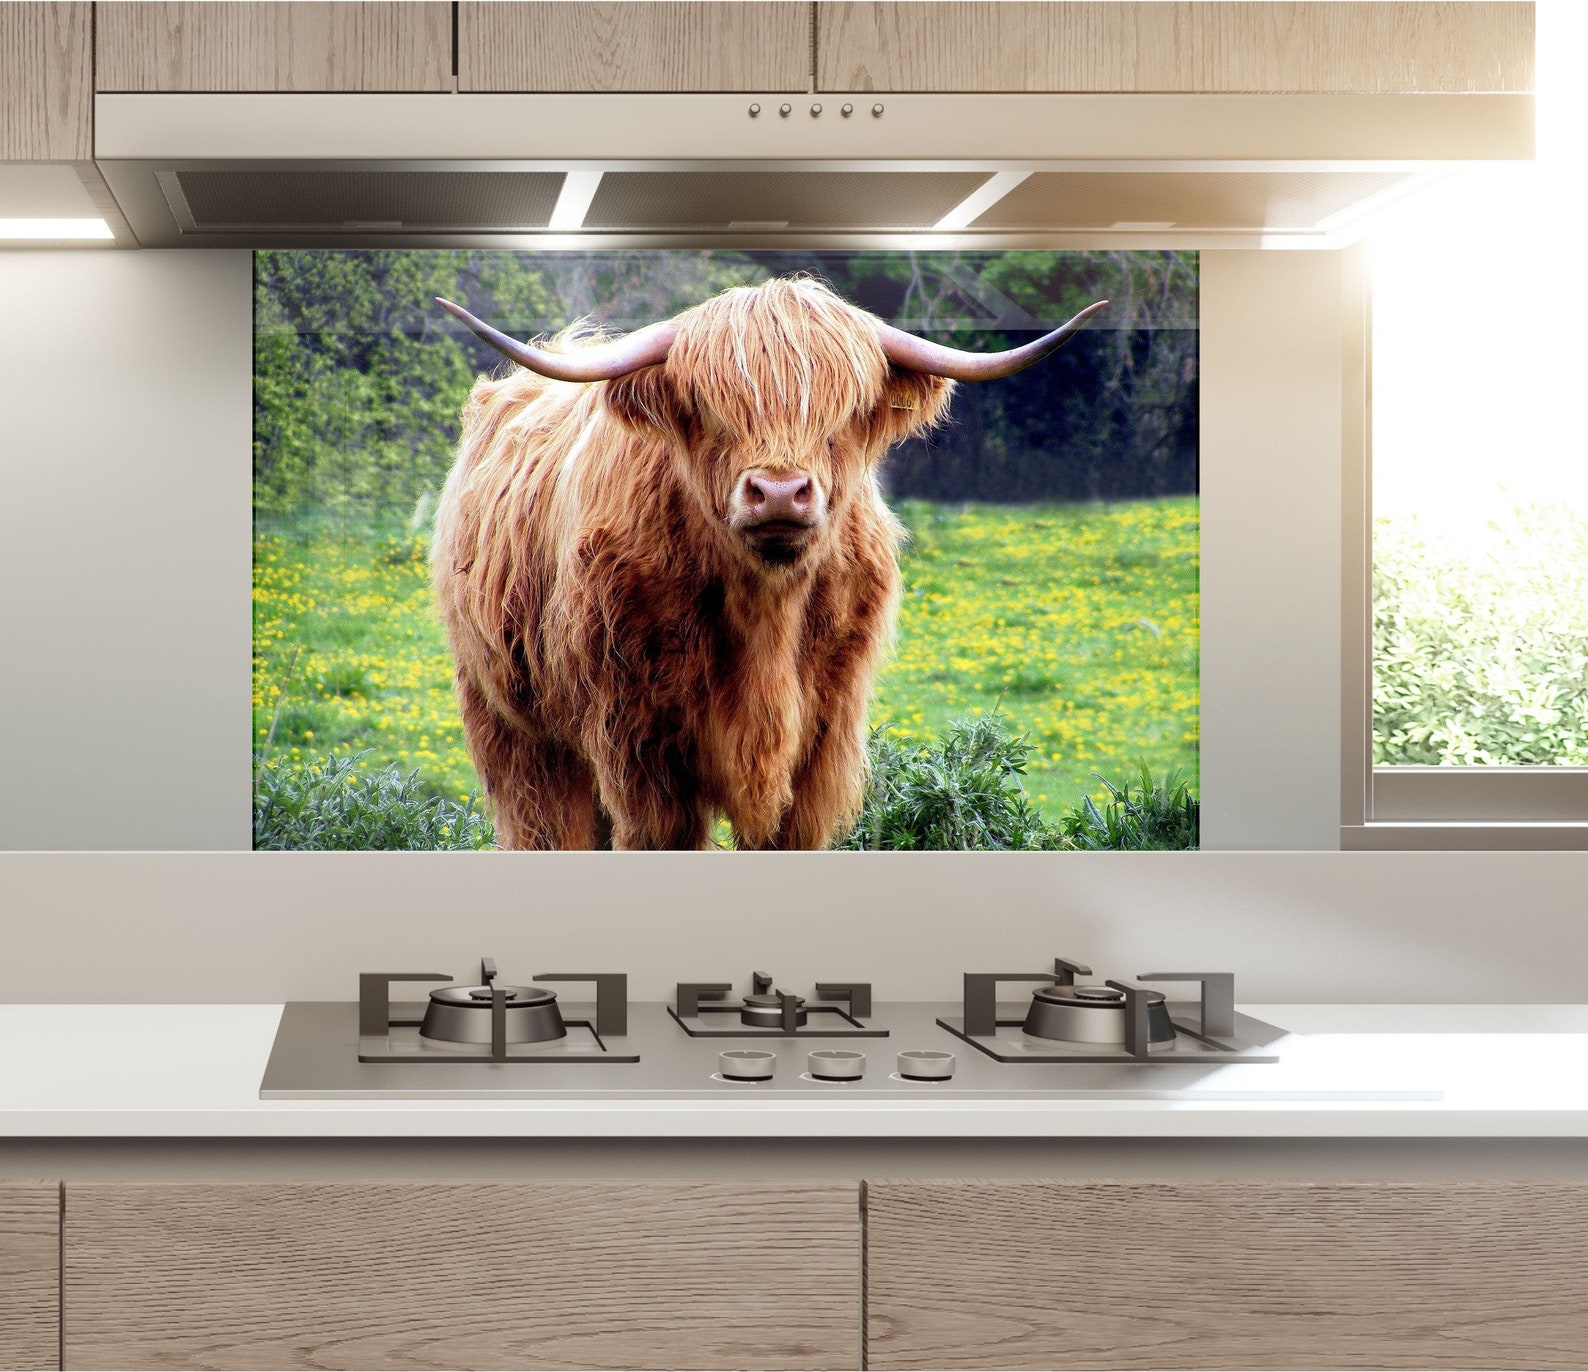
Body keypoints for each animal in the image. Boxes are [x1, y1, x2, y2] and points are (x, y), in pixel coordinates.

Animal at [431, 277, 1107, 850]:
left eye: (843, 413)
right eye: (711, 410)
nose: (779, 492)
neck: (767, 618)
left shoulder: (821, 746)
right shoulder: (641, 746)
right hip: (512, 724)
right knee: (550, 826)